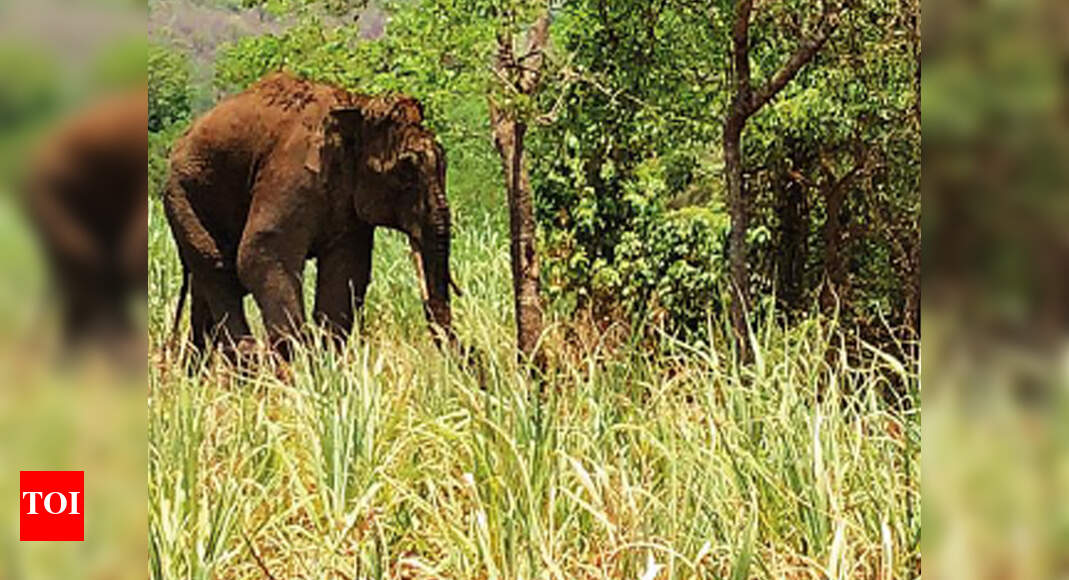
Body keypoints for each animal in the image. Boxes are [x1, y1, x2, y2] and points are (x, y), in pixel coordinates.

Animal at [163, 72, 455, 359]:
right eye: (405, 172)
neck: (355, 105)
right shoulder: (291, 173)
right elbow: (261, 254)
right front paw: (299, 361)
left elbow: (348, 270)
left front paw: (325, 363)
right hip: (183, 196)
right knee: (218, 270)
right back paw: (248, 358)